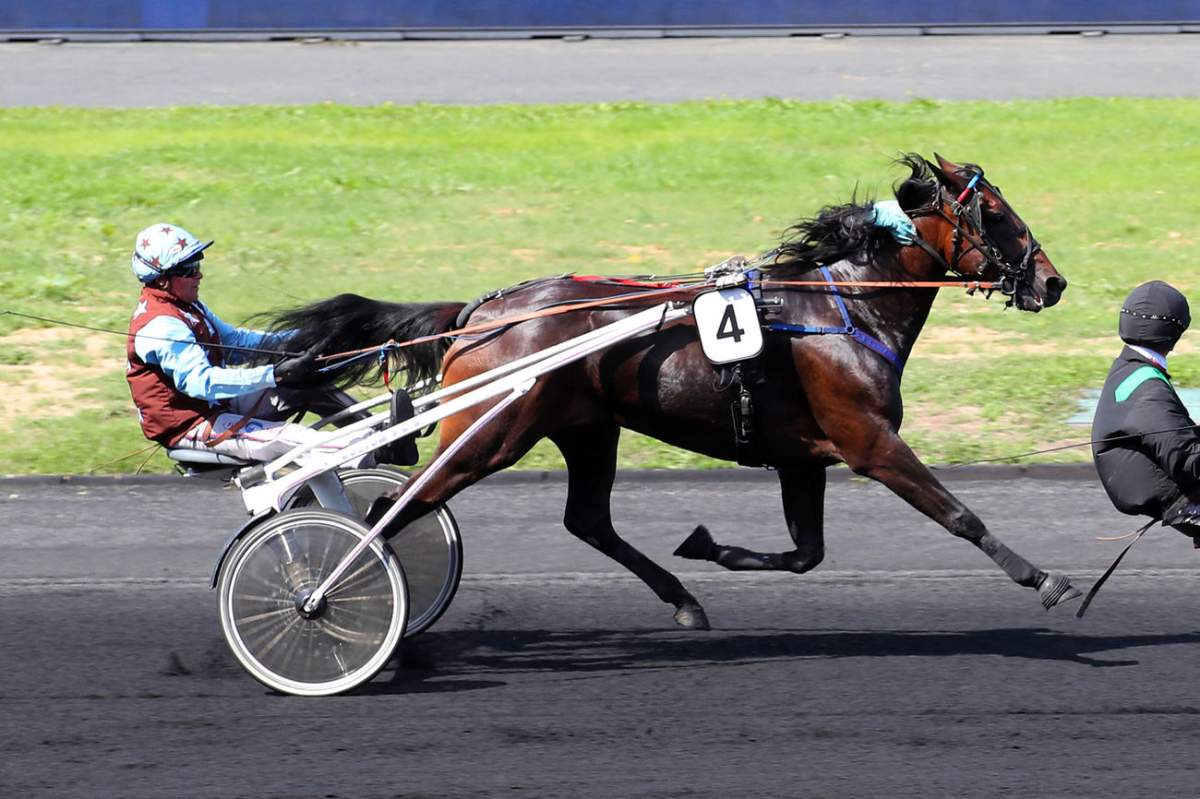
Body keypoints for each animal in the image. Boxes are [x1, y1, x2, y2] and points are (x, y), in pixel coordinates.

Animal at [269, 153, 1078, 630]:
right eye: (995, 214)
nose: (1052, 282)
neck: (843, 309)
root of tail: (481, 312)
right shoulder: (869, 440)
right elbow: (959, 514)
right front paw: (1044, 578)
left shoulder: (802, 456)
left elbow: (806, 554)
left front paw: (709, 546)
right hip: (491, 433)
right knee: (400, 504)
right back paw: (327, 592)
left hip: (588, 429)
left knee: (587, 521)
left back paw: (684, 600)